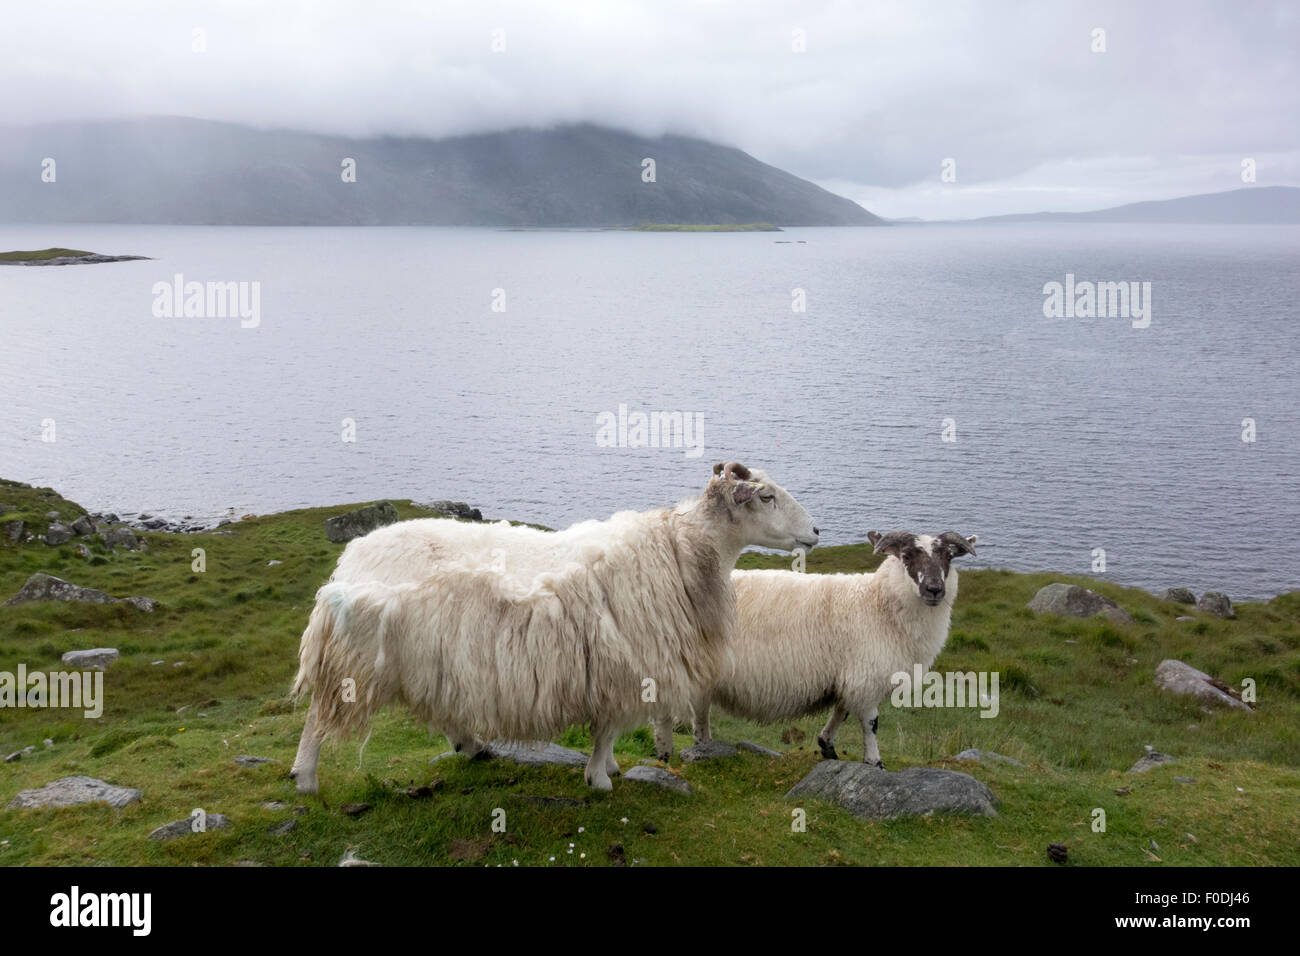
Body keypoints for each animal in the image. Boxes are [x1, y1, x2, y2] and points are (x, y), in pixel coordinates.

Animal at [289, 462, 819, 793]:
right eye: (766, 496)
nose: (816, 532)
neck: (680, 549)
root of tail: (352, 556)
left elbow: (610, 729)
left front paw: (608, 768)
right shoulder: (621, 658)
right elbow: (607, 727)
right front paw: (600, 778)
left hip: (429, 653)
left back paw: (472, 747)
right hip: (356, 655)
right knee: (317, 717)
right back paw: (305, 779)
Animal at [652, 530, 976, 768]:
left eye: (949, 557)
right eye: (907, 556)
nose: (934, 590)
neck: (878, 602)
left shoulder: (848, 676)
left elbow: (842, 711)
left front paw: (827, 745)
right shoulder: (866, 676)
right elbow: (870, 723)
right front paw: (875, 762)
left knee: (700, 709)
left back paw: (703, 744)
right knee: (663, 712)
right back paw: (665, 752)